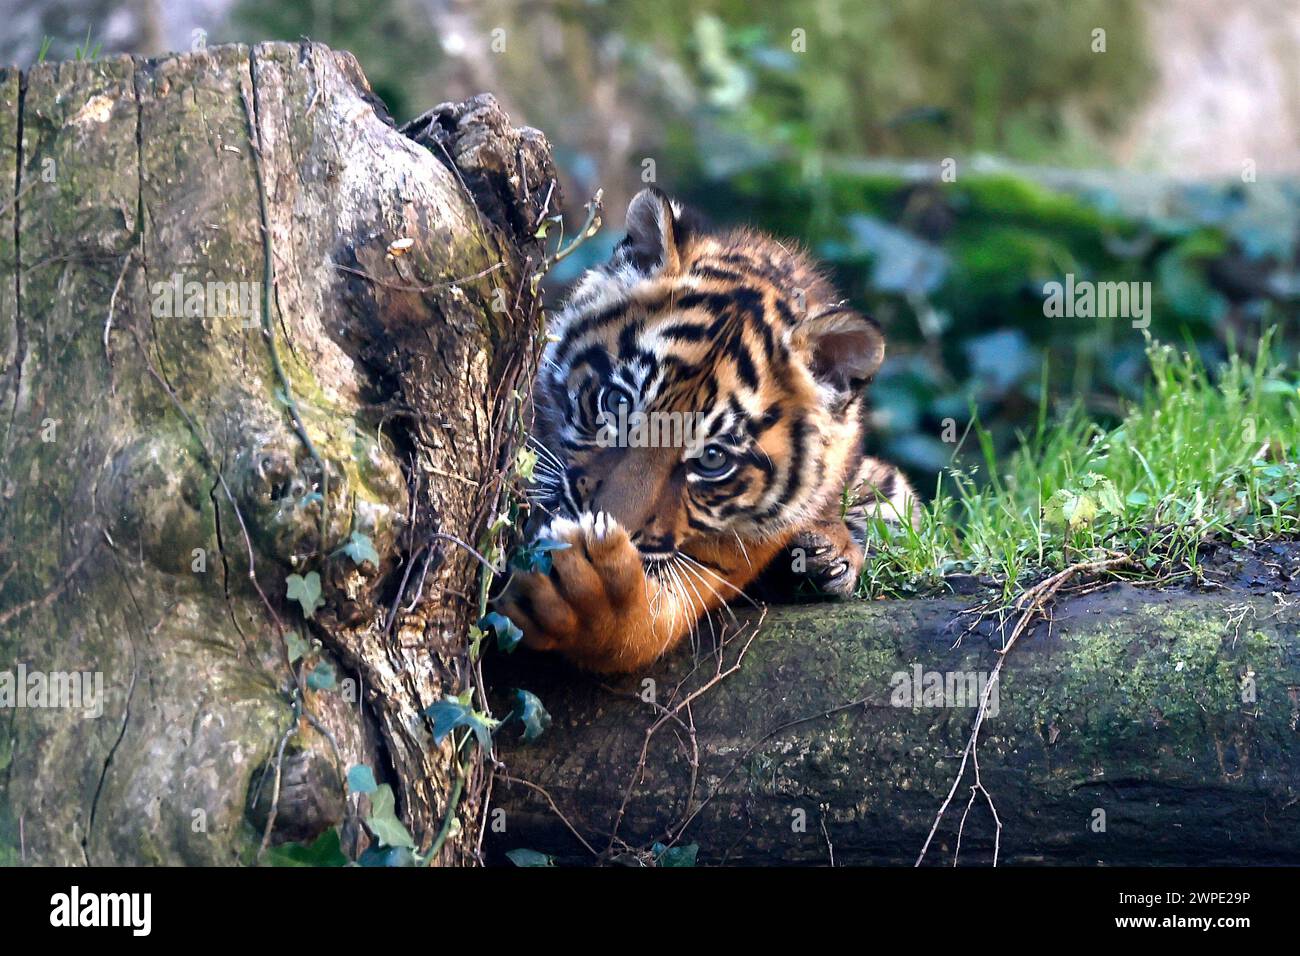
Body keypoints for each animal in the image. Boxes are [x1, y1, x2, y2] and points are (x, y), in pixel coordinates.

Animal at [494, 187, 918, 674]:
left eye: (712, 459)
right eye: (617, 403)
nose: (601, 521)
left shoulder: (727, 557)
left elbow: (647, 626)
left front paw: (587, 590)